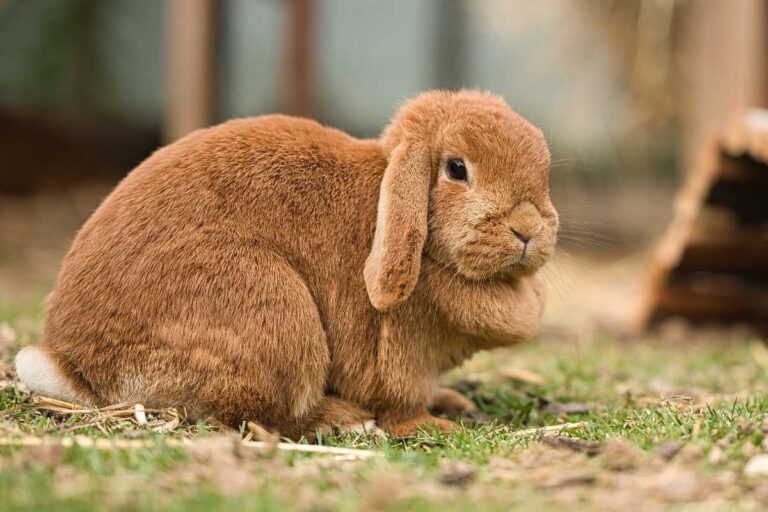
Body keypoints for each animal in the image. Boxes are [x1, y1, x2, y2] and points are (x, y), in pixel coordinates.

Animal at [15, 90, 557, 439]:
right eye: (457, 169)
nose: (528, 229)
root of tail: (78, 369)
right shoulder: (398, 359)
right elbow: (400, 403)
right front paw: (433, 425)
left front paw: (452, 403)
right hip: (277, 317)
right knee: (264, 418)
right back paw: (343, 419)